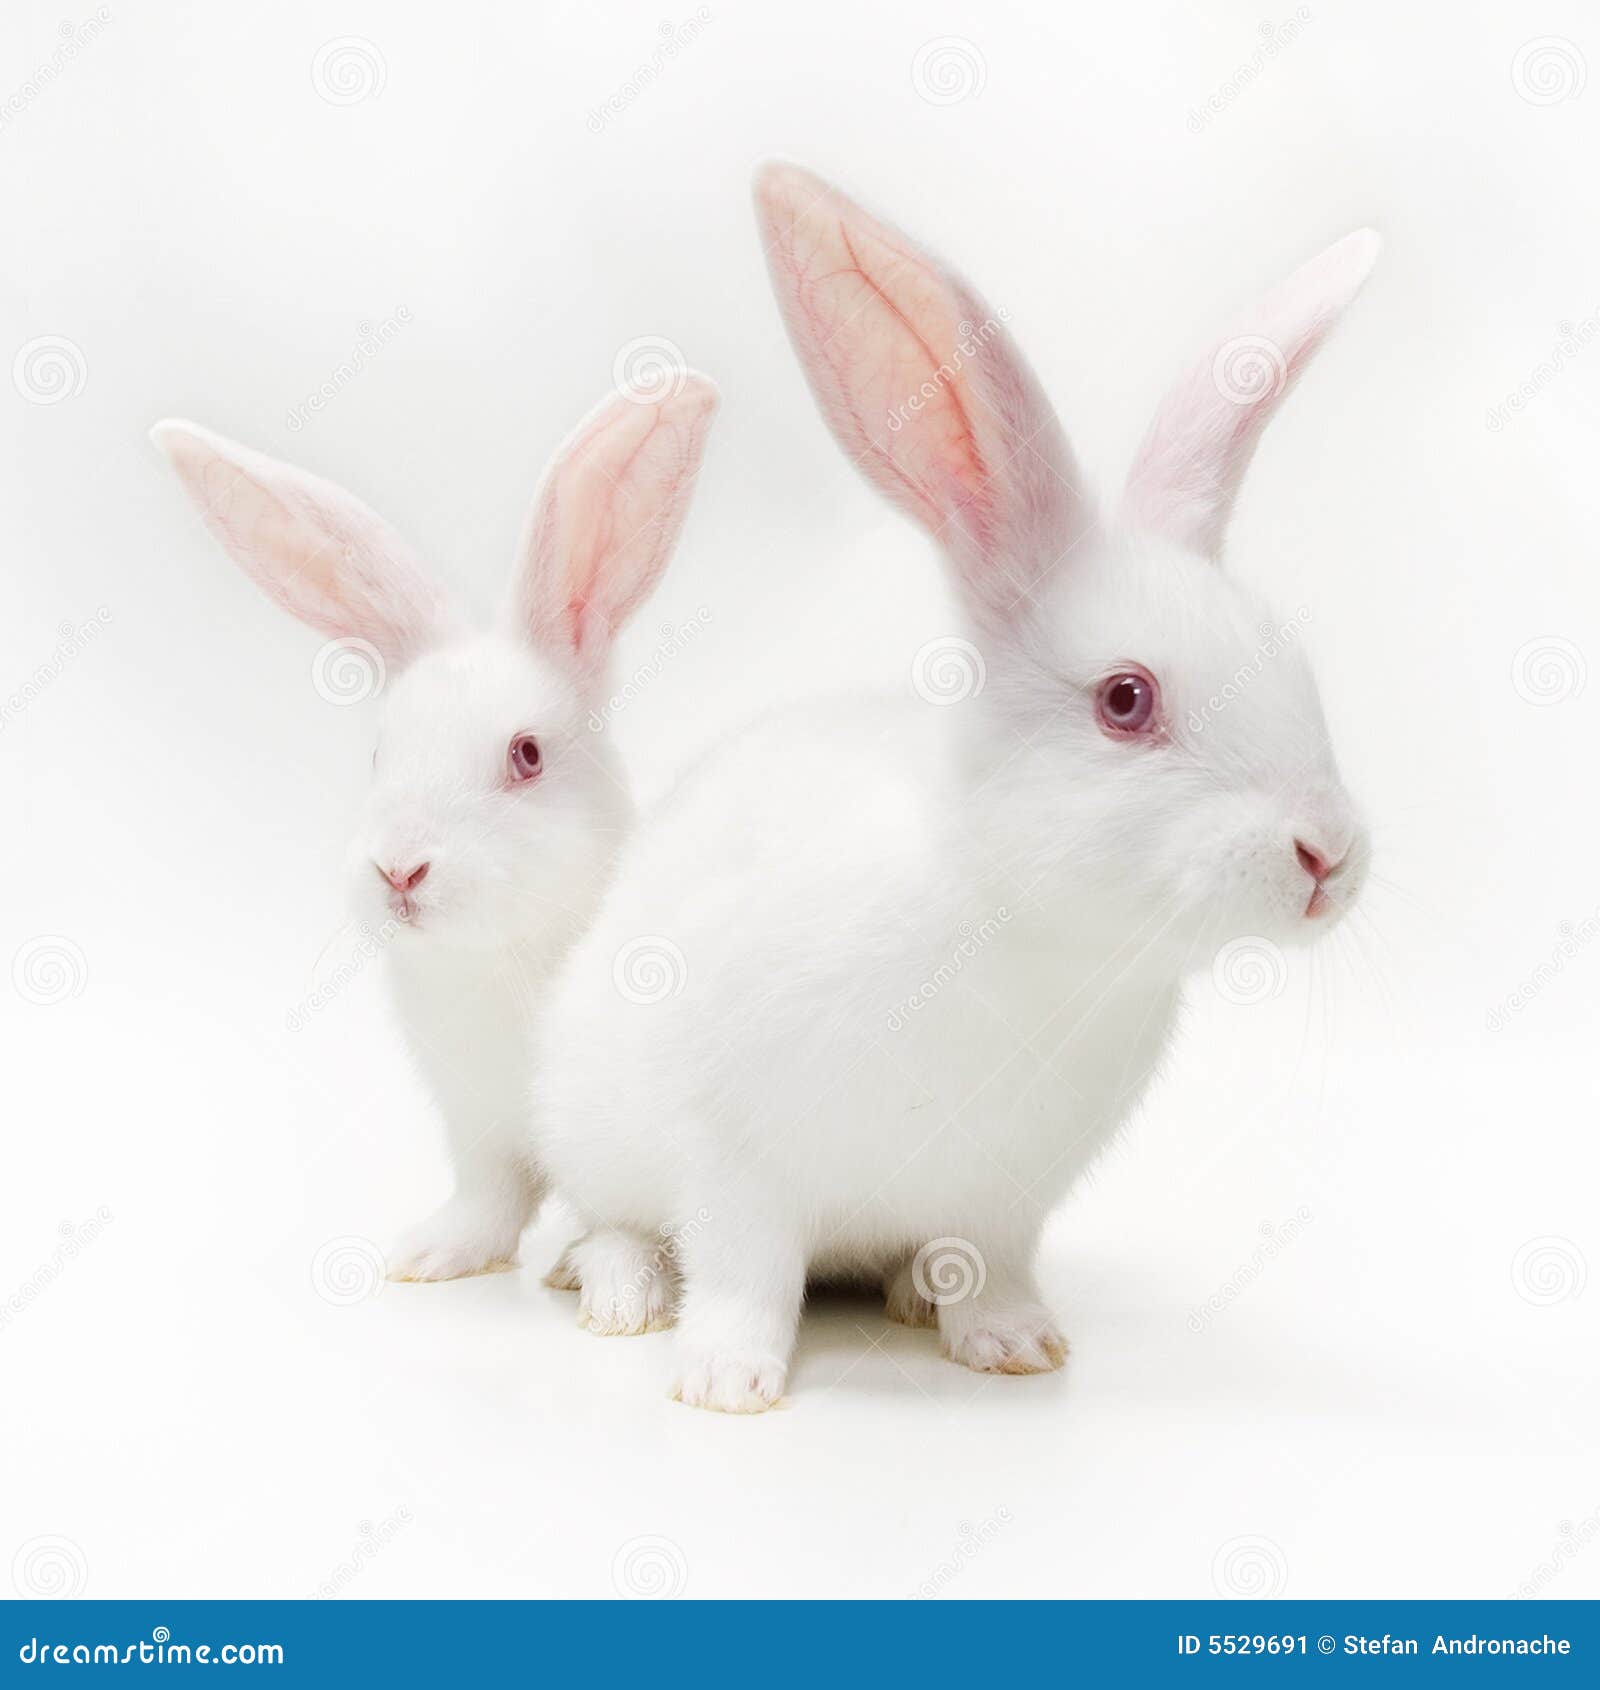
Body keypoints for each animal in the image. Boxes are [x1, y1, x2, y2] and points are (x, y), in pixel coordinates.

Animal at [152, 373, 718, 1282]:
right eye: (380, 752)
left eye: (527, 755)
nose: (400, 871)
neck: (495, 963)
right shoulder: (480, 1130)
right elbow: (491, 1202)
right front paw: (429, 1255)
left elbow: (625, 1222)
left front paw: (611, 1284)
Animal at [529, 162, 1379, 1410]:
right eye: (1125, 699)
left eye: (1295, 664)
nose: (1329, 855)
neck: (1024, 932)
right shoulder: (736, 1155)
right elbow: (740, 1268)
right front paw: (727, 1379)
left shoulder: (1006, 1196)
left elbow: (993, 1266)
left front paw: (1016, 1346)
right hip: (588, 1118)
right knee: (609, 1222)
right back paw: (625, 1296)